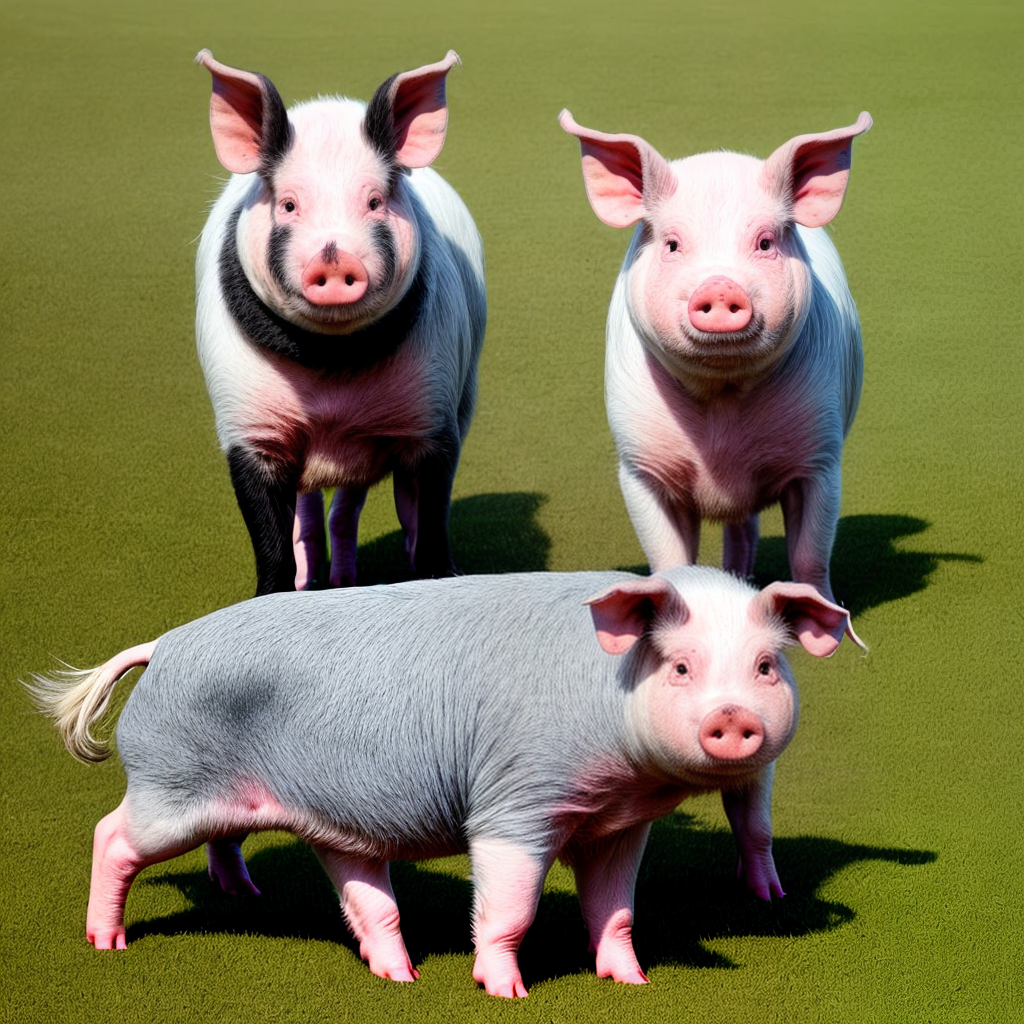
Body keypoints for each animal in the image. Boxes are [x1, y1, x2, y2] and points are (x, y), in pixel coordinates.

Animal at [26, 566, 862, 997]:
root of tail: (160, 645)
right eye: (681, 665)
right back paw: (107, 942)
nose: (735, 719)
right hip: (166, 787)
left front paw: (631, 983)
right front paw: (506, 991)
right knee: (110, 835)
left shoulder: (617, 825)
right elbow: (509, 907)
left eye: (766, 665)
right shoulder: (511, 803)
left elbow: (616, 911)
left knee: (355, 896)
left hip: (279, 808)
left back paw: (375, 964)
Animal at [194, 49, 485, 595]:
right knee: (310, 510)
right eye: (289, 204)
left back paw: (347, 581)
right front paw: (274, 595)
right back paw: (317, 582)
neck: (331, 367)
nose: (334, 258)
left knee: (350, 504)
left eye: (374, 201)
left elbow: (431, 509)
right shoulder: (247, 427)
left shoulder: (435, 415)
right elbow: (267, 534)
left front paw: (438, 575)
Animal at [559, 110, 872, 604]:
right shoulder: (640, 466)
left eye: (765, 243)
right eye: (672, 244)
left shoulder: (821, 457)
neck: (721, 397)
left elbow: (810, 556)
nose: (721, 286)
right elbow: (669, 558)